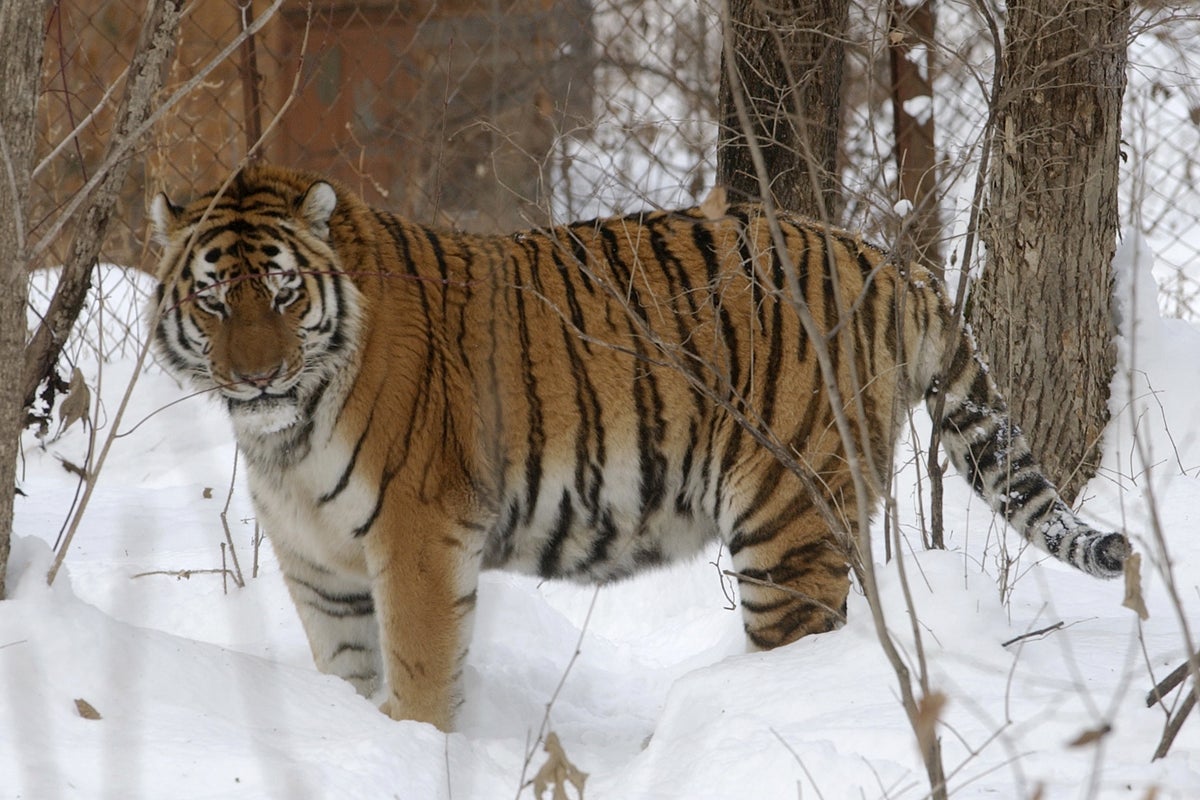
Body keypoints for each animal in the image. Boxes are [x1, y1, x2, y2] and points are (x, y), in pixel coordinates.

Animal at [145, 163, 1129, 731]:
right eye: (212, 300)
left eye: (281, 293)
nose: (257, 377)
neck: (286, 434)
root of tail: (889, 260)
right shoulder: (319, 564)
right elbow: (346, 674)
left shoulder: (417, 538)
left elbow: (420, 679)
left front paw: (417, 749)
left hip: (790, 521)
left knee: (806, 641)